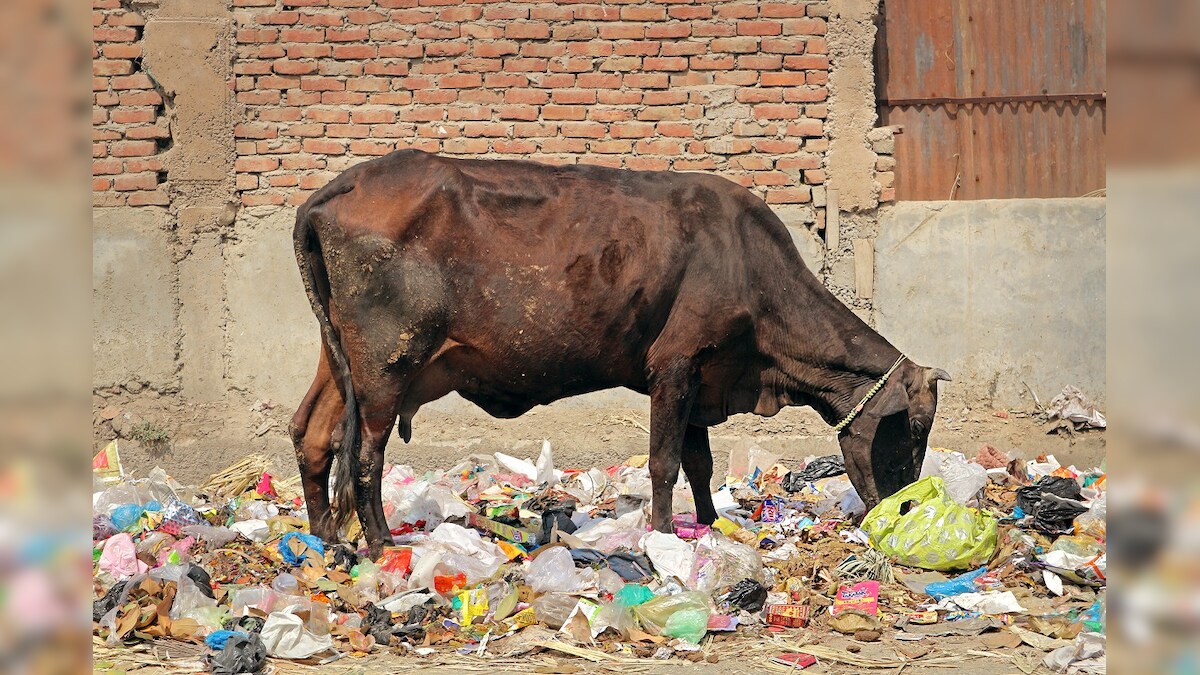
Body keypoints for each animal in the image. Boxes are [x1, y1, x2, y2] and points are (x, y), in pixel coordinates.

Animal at [290, 149, 949, 556]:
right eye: (914, 428)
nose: (904, 507)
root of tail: (338, 187)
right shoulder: (675, 364)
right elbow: (664, 461)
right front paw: (660, 534)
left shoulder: (701, 377)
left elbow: (699, 461)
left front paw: (709, 523)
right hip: (386, 364)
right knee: (365, 453)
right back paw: (380, 542)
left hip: (340, 361)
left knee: (312, 432)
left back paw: (327, 537)